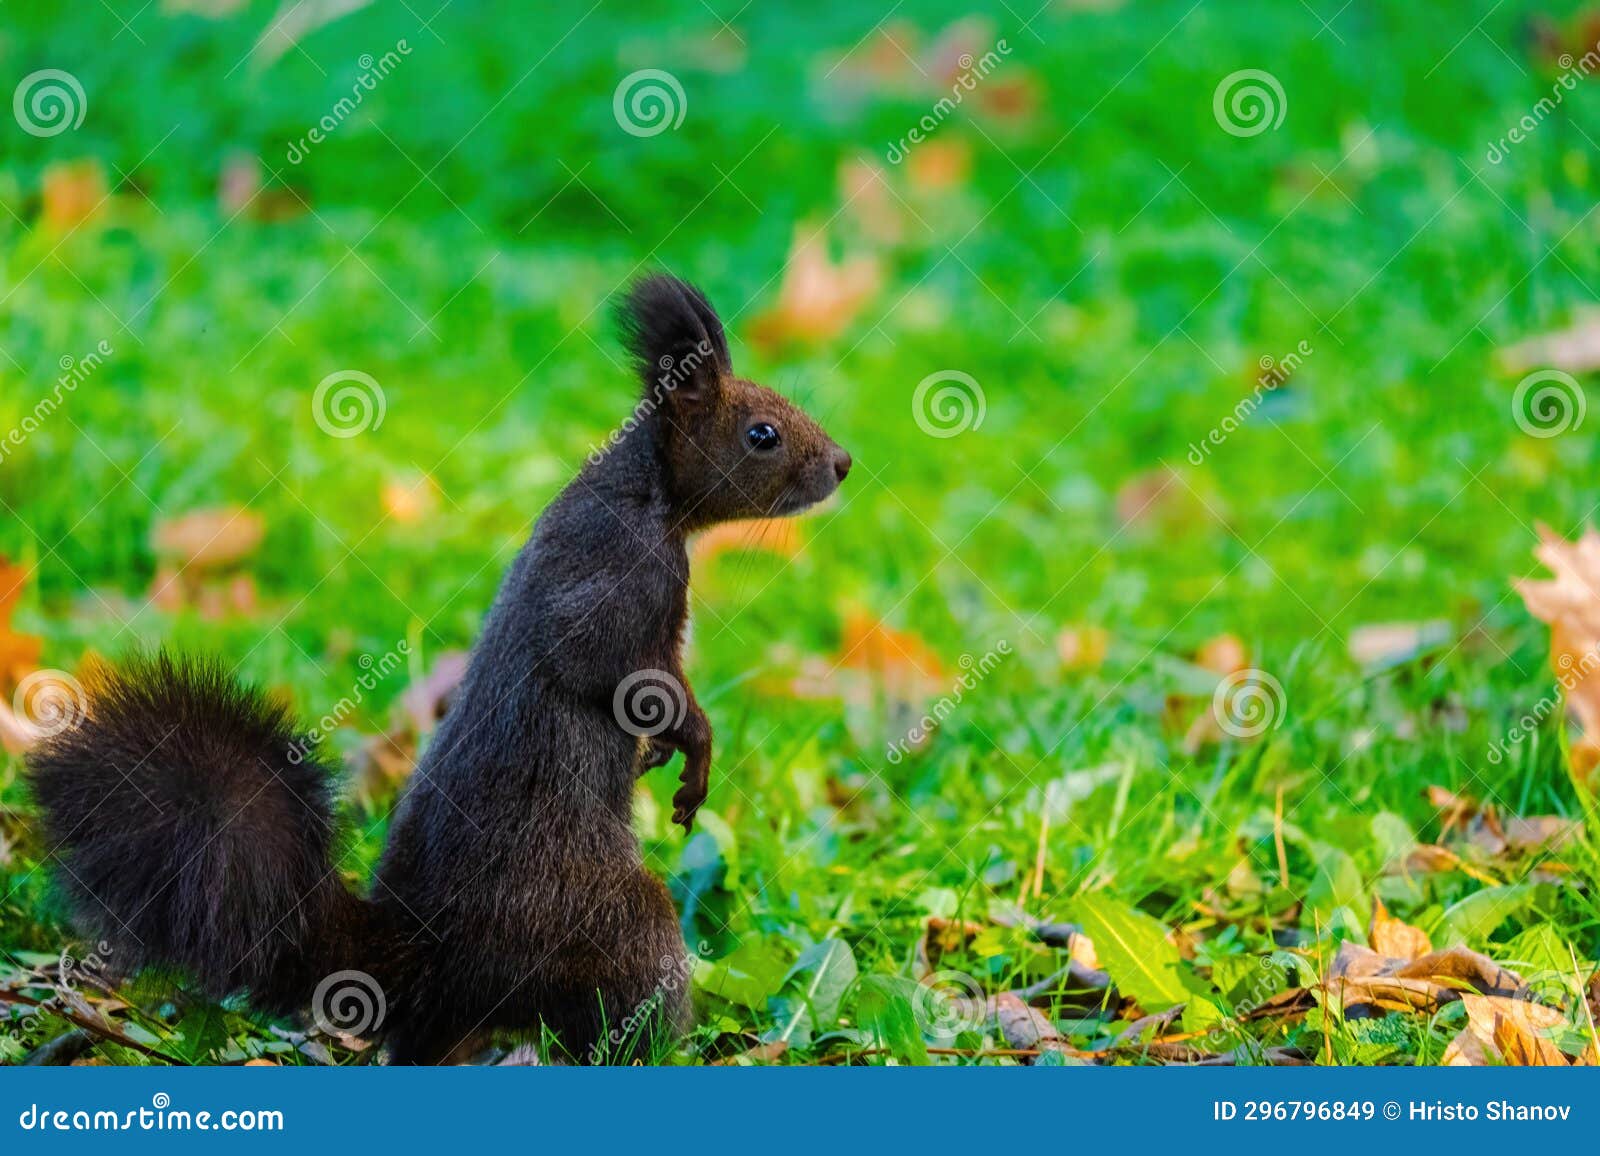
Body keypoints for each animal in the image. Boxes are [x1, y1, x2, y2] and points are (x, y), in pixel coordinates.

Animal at [25, 274, 851, 1064]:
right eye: (763, 433)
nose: (843, 464)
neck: (648, 491)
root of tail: (425, 961)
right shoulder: (615, 574)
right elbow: (606, 666)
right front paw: (696, 749)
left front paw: (666, 756)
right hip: (619, 926)